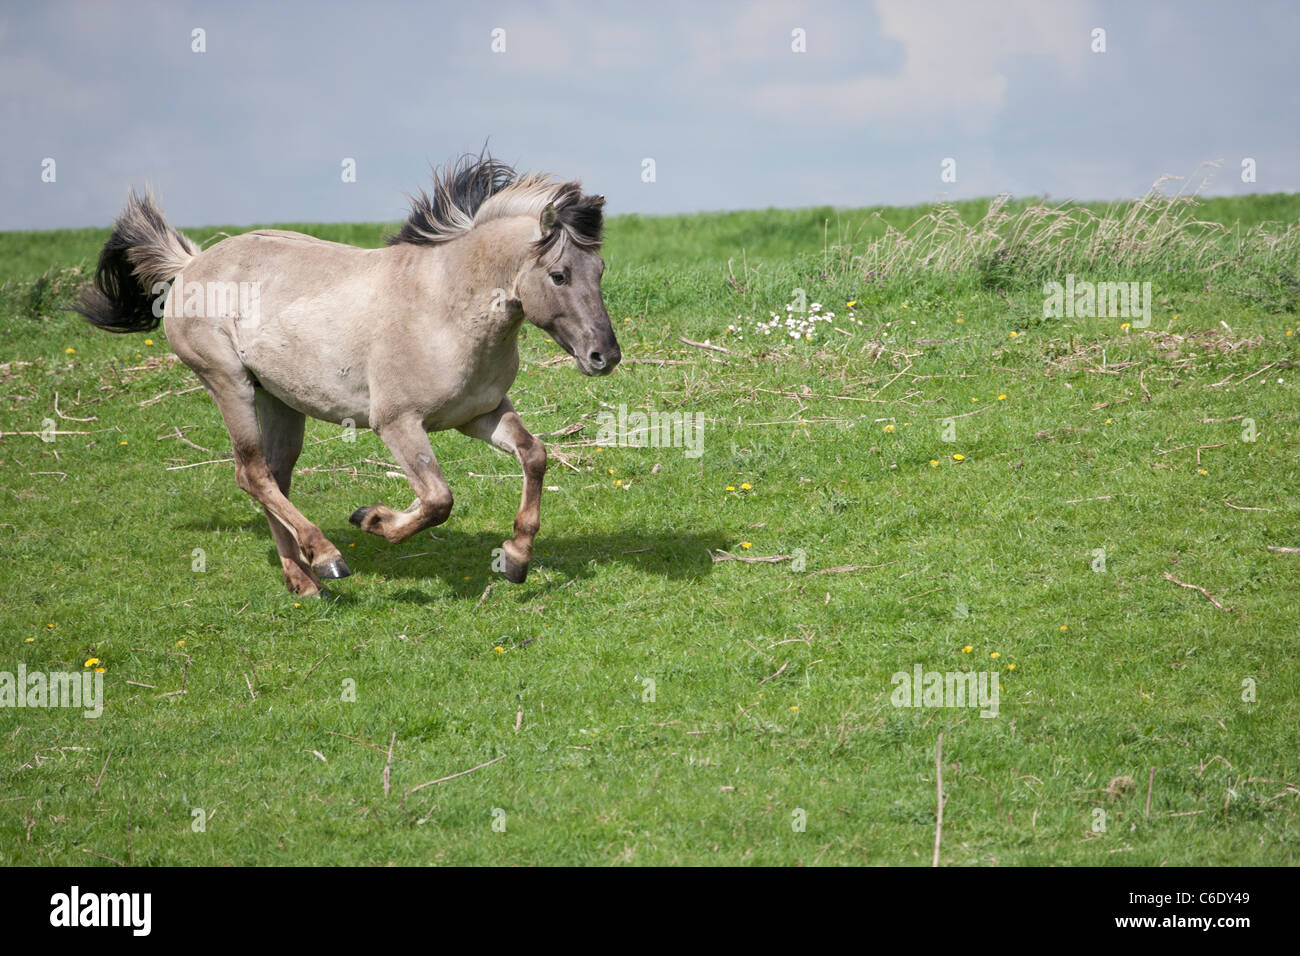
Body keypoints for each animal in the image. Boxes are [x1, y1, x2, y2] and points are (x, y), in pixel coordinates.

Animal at [76, 155, 621, 596]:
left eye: (599, 270)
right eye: (558, 276)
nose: (605, 356)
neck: (443, 308)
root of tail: (189, 263)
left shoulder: (480, 415)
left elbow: (534, 456)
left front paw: (515, 558)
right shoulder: (398, 423)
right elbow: (437, 500)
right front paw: (373, 519)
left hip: (278, 400)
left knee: (273, 477)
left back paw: (303, 578)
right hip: (228, 383)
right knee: (252, 473)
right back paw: (327, 558)